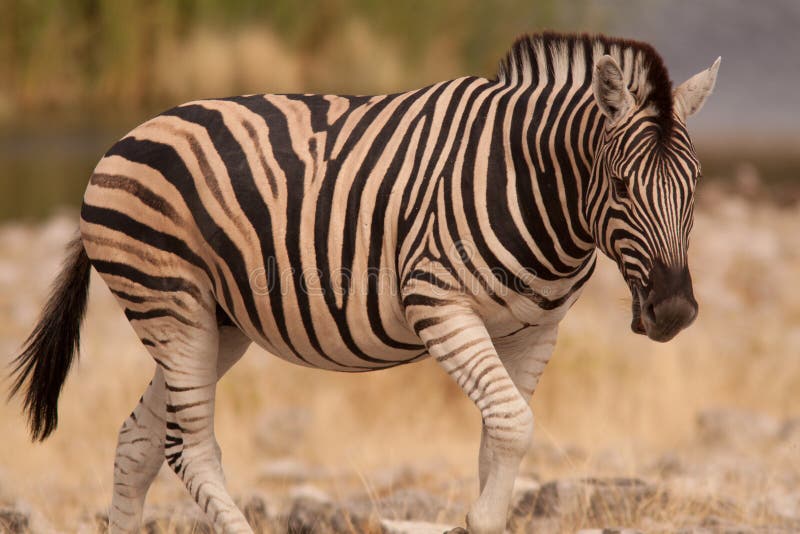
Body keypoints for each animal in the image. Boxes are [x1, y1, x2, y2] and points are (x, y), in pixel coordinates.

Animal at [8, 32, 719, 533]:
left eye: (695, 186)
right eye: (622, 187)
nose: (675, 312)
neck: (534, 184)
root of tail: (123, 138)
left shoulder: (535, 328)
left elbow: (498, 438)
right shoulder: (437, 302)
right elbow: (514, 427)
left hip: (215, 323)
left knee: (139, 443)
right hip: (169, 302)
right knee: (192, 447)